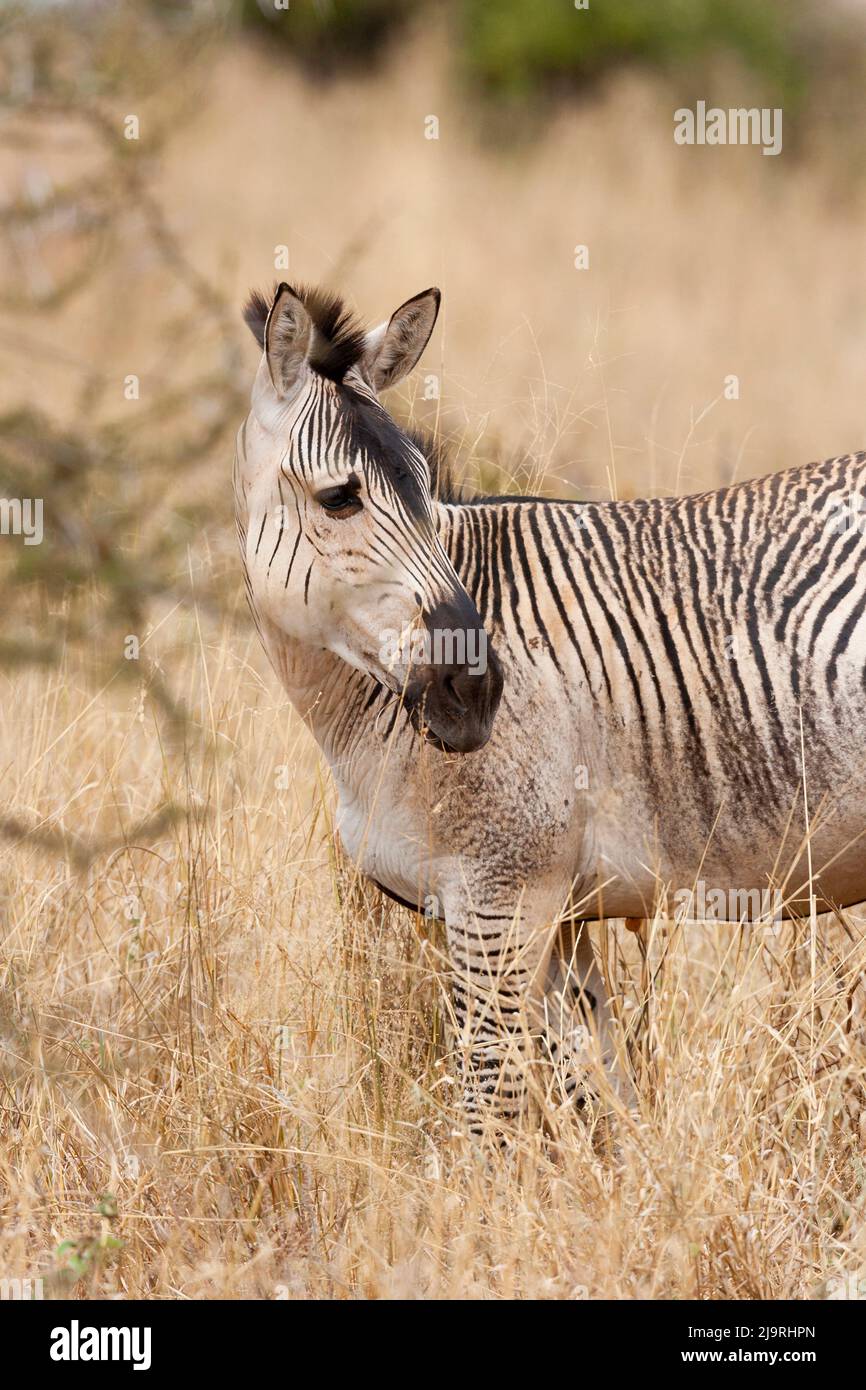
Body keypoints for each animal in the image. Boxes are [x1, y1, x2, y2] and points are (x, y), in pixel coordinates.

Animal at [235, 280, 866, 1134]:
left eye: (426, 487)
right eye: (339, 499)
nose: (475, 690)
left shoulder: (501, 898)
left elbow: (487, 1120)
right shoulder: (556, 916)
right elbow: (607, 1112)